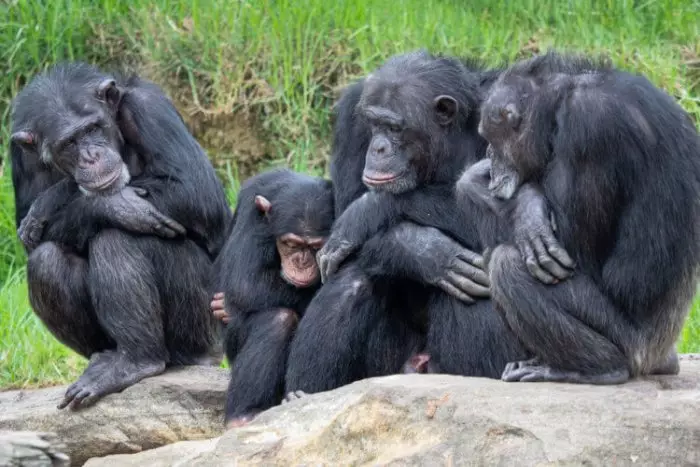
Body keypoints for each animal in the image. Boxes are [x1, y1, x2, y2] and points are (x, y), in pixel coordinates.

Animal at [10, 61, 231, 410]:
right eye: (69, 144)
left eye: (92, 129)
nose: (91, 156)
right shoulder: (20, 154)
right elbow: (29, 237)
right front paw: (116, 205)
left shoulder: (149, 107)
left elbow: (196, 191)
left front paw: (59, 198)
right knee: (46, 260)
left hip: (205, 319)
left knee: (118, 238)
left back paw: (137, 360)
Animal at [209, 168, 334, 428]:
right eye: (290, 244)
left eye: (315, 247)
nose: (301, 262)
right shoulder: (251, 212)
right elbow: (247, 281)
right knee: (278, 320)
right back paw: (242, 415)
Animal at [282, 50, 572, 394]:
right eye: (374, 124)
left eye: (394, 128)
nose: (378, 147)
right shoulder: (351, 124)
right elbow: (342, 216)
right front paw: (423, 251)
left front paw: (370, 210)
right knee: (352, 277)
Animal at [476, 51, 700, 386]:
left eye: (489, 136)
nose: (488, 153)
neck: (561, 101)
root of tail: (655, 357)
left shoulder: (589, 128)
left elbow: (576, 249)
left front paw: (530, 210)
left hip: (631, 345)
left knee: (505, 264)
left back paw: (596, 368)